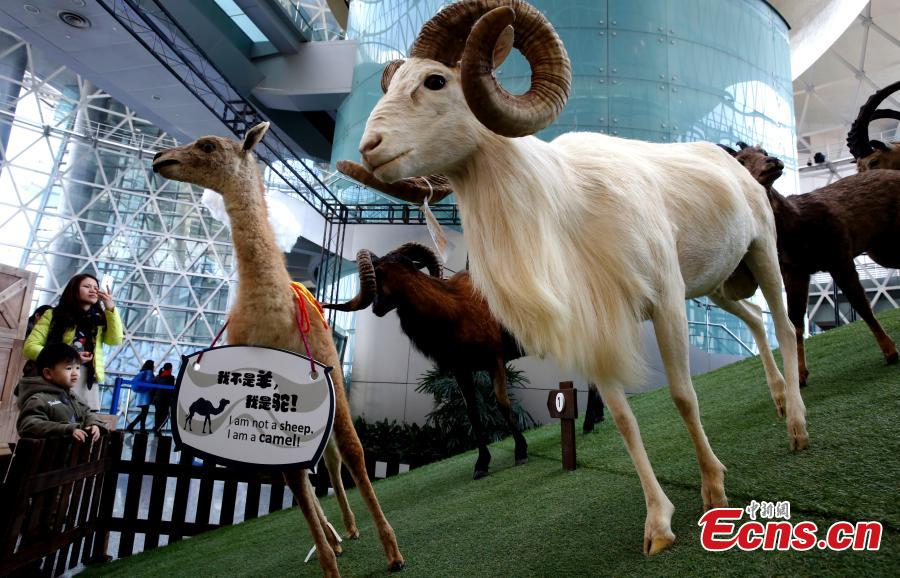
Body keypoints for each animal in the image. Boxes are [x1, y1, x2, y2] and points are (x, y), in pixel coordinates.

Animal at [325, 242, 528, 479]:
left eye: (379, 273)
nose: (376, 308)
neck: (456, 308)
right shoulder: (462, 370)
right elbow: (473, 413)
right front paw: (481, 465)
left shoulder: (495, 361)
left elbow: (503, 404)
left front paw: (521, 452)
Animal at [723, 143, 900, 385]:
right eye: (739, 161)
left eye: (763, 152)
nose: (773, 161)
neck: (797, 232)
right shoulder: (794, 270)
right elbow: (796, 322)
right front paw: (800, 376)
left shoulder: (839, 252)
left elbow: (861, 304)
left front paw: (891, 352)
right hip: (882, 249)